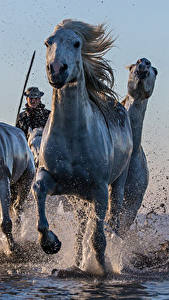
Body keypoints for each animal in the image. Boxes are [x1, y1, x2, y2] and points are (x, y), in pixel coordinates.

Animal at [31, 19, 132, 276]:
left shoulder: (99, 189)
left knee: (110, 223)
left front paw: (102, 269)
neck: (73, 138)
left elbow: (98, 237)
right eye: (48, 42)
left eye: (77, 43)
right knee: (80, 228)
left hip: (117, 184)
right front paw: (50, 244)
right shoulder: (53, 178)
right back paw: (74, 265)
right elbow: (38, 191)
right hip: (77, 196)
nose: (57, 69)